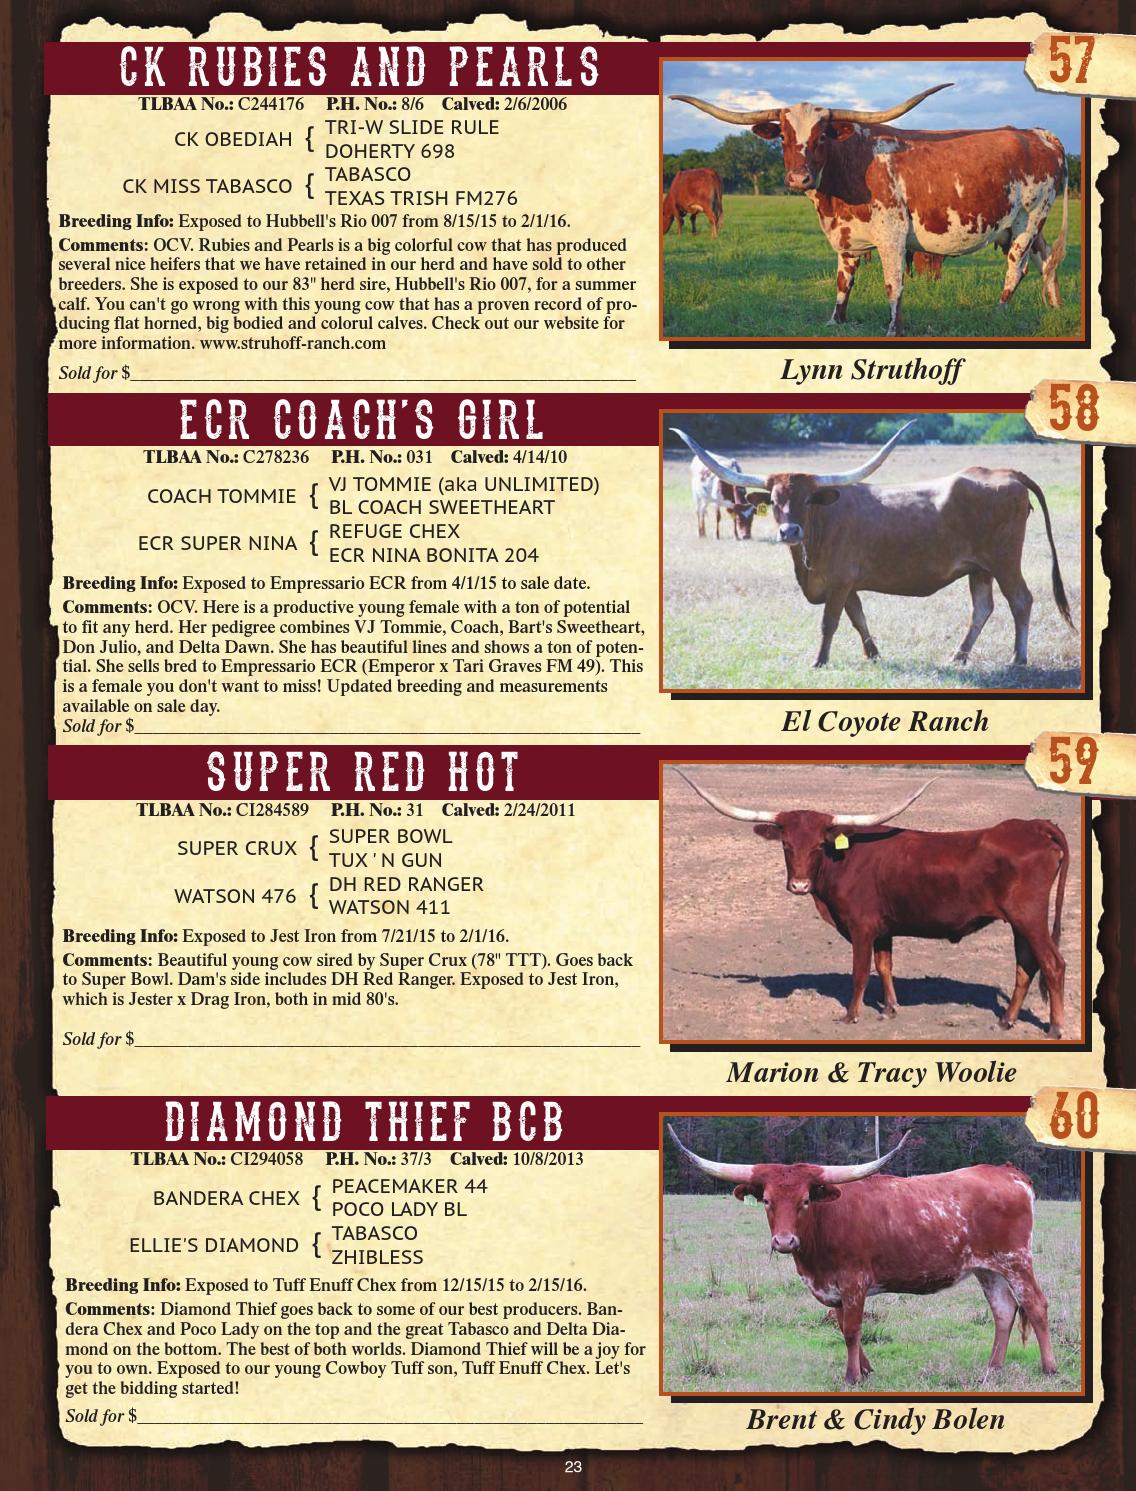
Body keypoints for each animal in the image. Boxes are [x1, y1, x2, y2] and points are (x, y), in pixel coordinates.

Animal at [667, 1126, 1058, 1384]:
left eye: (805, 1200)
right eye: (766, 1200)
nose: (784, 1241)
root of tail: (1007, 1172)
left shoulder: (854, 1282)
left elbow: (853, 1329)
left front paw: (853, 1376)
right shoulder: (832, 1288)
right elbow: (842, 1325)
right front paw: (867, 1370)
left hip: (1016, 1259)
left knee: (1035, 1304)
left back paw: (1049, 1368)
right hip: (987, 1268)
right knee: (1004, 1311)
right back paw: (992, 1370)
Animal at [670, 84, 1068, 335]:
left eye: (822, 136)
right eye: (783, 136)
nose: (798, 178)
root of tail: (1039, 134)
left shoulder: (892, 237)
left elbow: (893, 284)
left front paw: (895, 329)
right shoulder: (847, 239)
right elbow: (843, 282)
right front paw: (836, 321)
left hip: (1028, 221)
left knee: (1016, 268)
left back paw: (999, 312)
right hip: (1022, 227)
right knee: (1046, 259)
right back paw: (1055, 307)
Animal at [672, 424, 1073, 668]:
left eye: (808, 498)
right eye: (773, 499)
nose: (789, 531)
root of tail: (1006, 472)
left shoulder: (838, 582)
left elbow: (830, 623)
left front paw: (820, 661)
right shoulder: (847, 585)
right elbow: (858, 618)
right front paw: (874, 654)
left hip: (1005, 562)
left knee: (1020, 601)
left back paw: (1018, 658)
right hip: (980, 569)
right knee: (983, 608)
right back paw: (958, 656)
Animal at [674, 770, 1069, 1037]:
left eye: (819, 845)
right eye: (786, 845)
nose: (799, 885)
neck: (844, 858)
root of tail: (1034, 825)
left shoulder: (861, 927)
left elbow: (860, 971)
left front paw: (851, 1015)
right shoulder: (883, 929)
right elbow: (884, 966)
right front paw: (890, 1009)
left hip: (1029, 917)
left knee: (1052, 964)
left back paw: (1055, 1028)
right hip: (1018, 923)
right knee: (1025, 967)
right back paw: (1006, 1020)